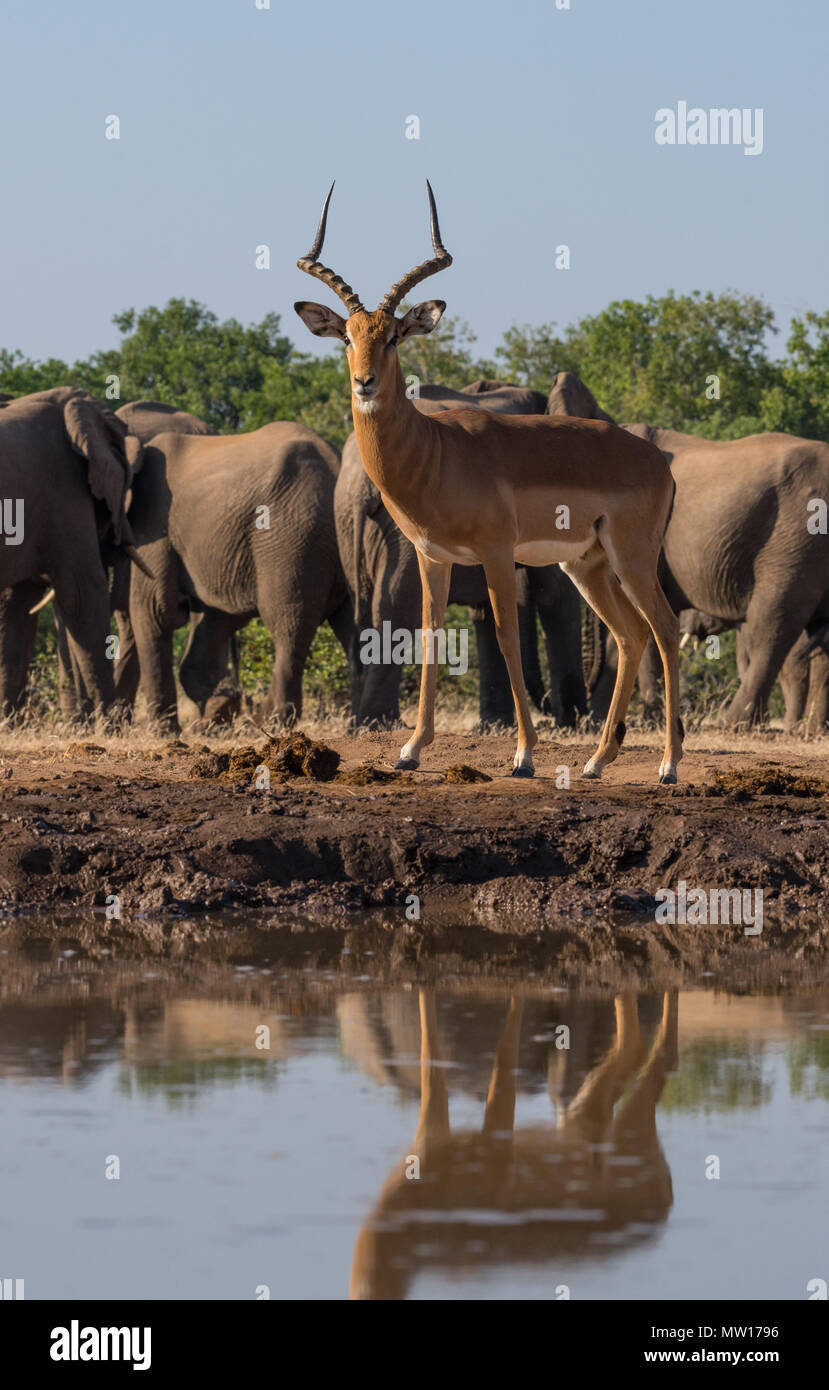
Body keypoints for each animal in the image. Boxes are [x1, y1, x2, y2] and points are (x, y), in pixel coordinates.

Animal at [295, 184, 683, 783]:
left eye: (394, 336)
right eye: (348, 337)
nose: (364, 383)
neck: (436, 452)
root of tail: (658, 462)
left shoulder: (498, 553)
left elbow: (505, 637)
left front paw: (523, 755)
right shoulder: (433, 556)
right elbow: (428, 636)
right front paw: (410, 750)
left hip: (630, 558)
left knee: (664, 630)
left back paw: (668, 766)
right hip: (586, 564)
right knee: (632, 633)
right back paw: (596, 762)